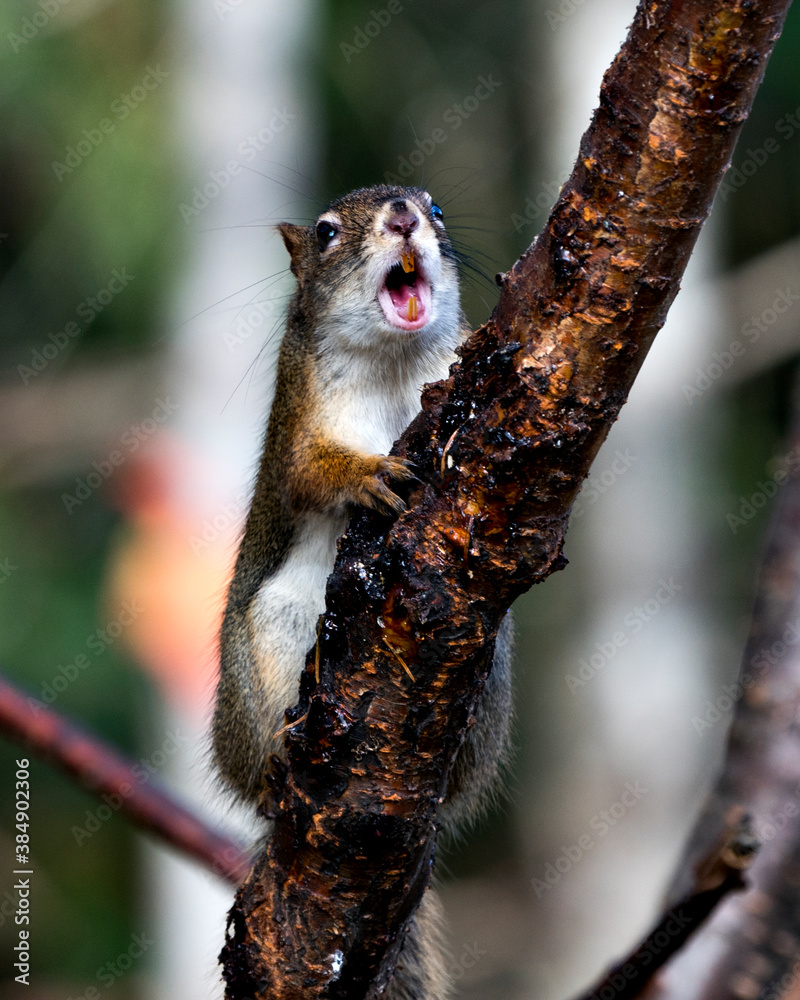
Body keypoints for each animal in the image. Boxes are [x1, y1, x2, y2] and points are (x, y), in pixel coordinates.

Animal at [212, 184, 513, 1000]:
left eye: (434, 207)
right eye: (324, 233)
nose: (405, 216)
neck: (393, 361)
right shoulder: (301, 412)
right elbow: (310, 472)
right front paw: (367, 475)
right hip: (269, 645)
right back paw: (278, 761)